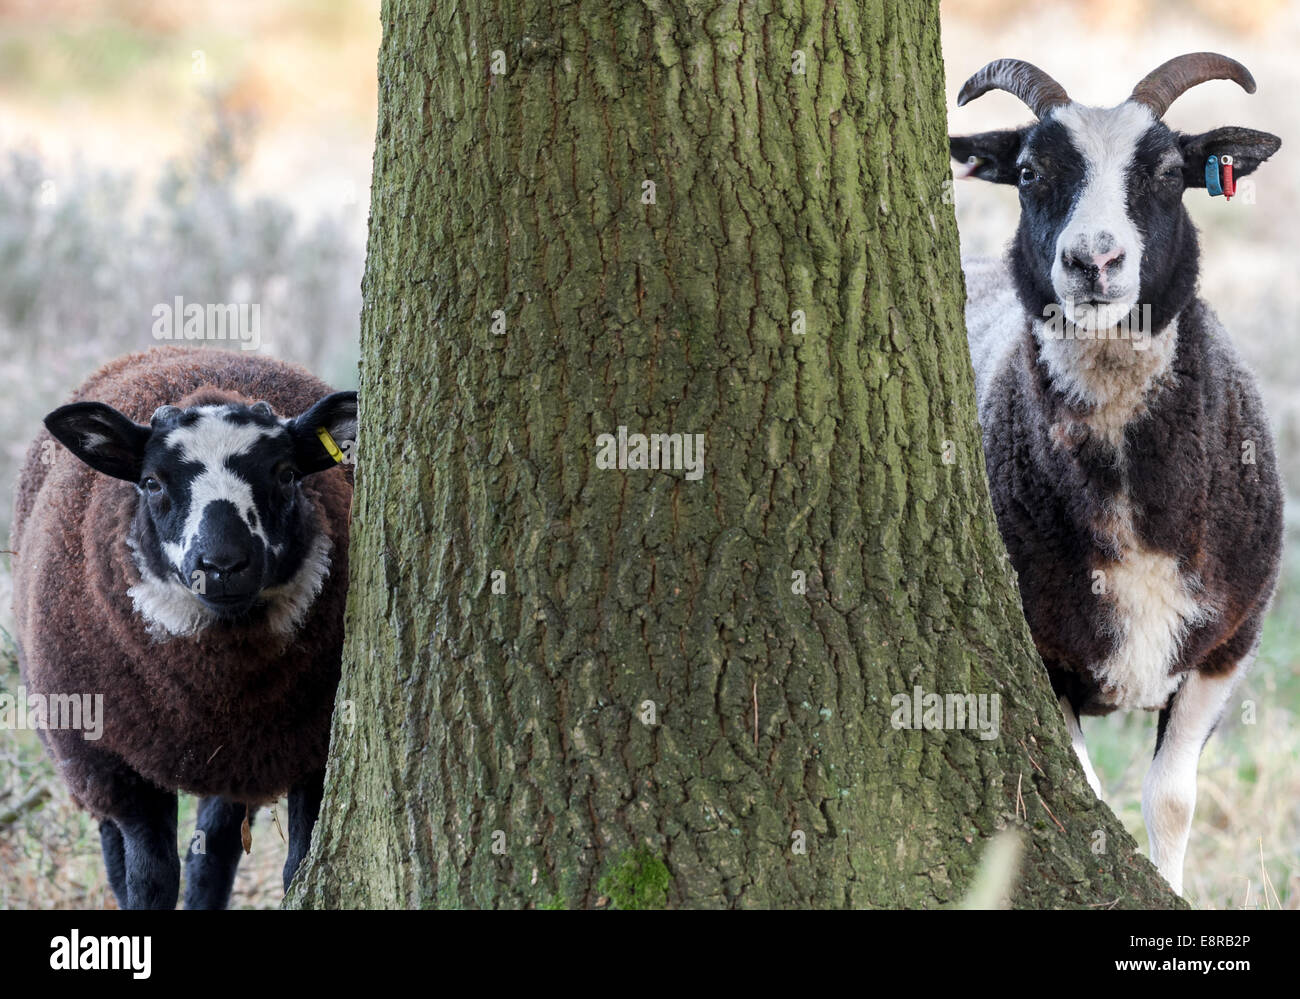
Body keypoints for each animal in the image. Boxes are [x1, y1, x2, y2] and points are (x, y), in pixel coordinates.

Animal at [11, 345, 357, 909]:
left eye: (286, 473)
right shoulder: (118, 769)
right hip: (89, 757)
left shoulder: (315, 750)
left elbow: (297, 866)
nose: (221, 565)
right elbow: (149, 879)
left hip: (238, 760)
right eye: (152, 482)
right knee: (119, 851)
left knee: (213, 851)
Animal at [949, 54, 1284, 896]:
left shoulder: (1229, 642)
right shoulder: (1043, 655)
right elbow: (1090, 793)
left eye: (1168, 173)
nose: (1093, 262)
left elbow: (1171, 799)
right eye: (1029, 172)